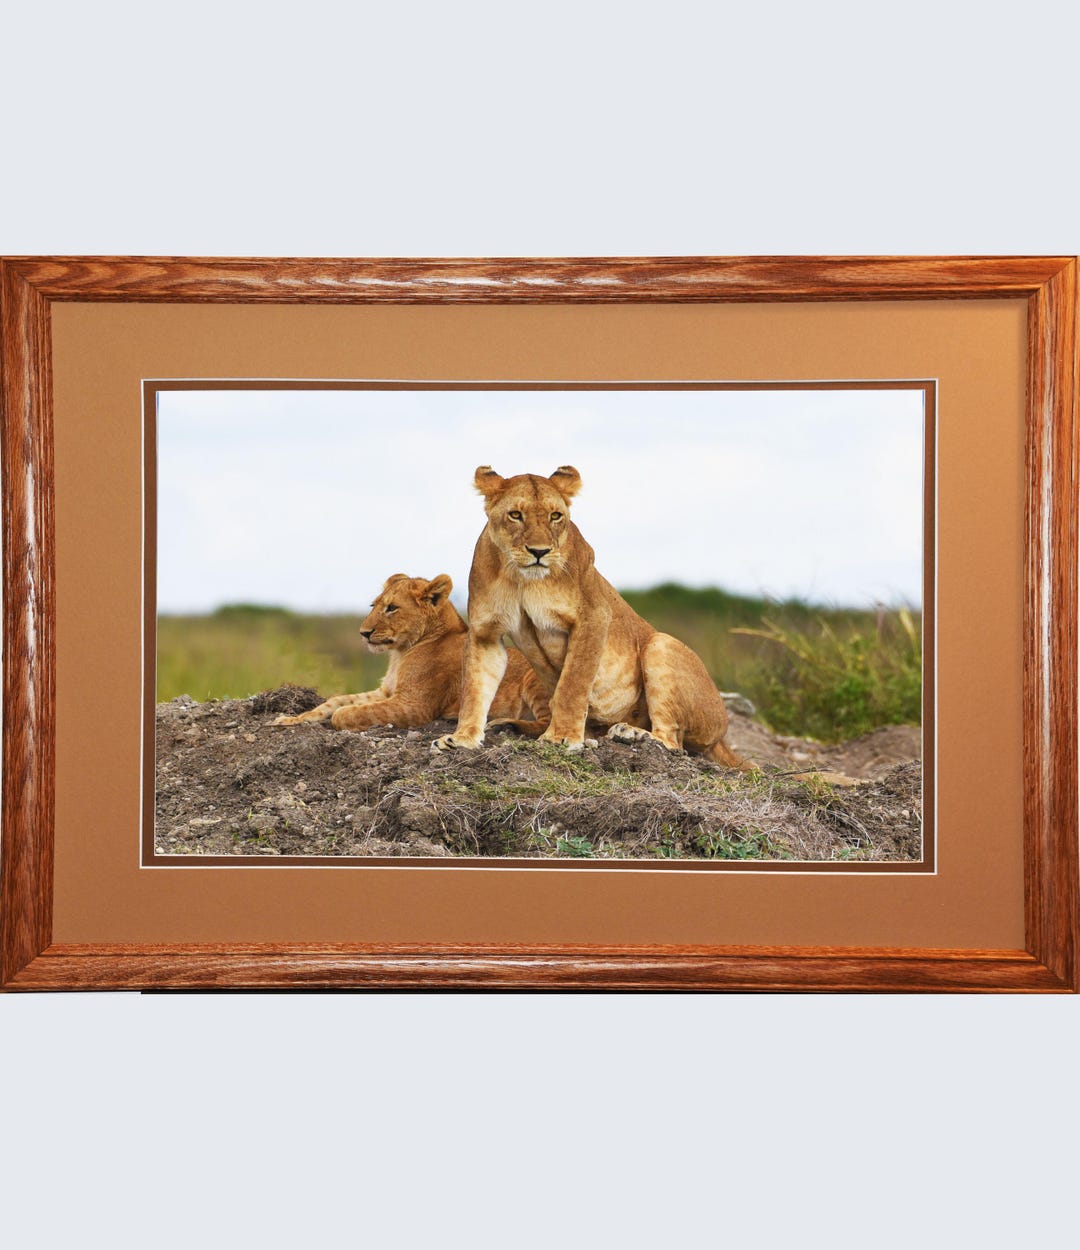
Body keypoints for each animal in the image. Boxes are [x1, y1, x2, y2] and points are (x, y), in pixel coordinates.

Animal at [272, 573, 550, 732]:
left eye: (392, 608)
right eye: (374, 605)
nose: (364, 633)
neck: (400, 653)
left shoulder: (414, 705)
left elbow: (348, 712)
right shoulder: (385, 691)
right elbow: (335, 701)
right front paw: (290, 719)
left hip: (533, 679)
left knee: (549, 724)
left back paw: (504, 724)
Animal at [432, 467, 749, 768]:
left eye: (555, 516)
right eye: (515, 515)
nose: (539, 552)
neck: (522, 579)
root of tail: (722, 737)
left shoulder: (593, 617)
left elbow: (573, 683)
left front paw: (561, 738)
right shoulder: (484, 632)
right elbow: (474, 689)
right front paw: (461, 739)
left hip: (661, 644)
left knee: (674, 742)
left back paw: (630, 732)